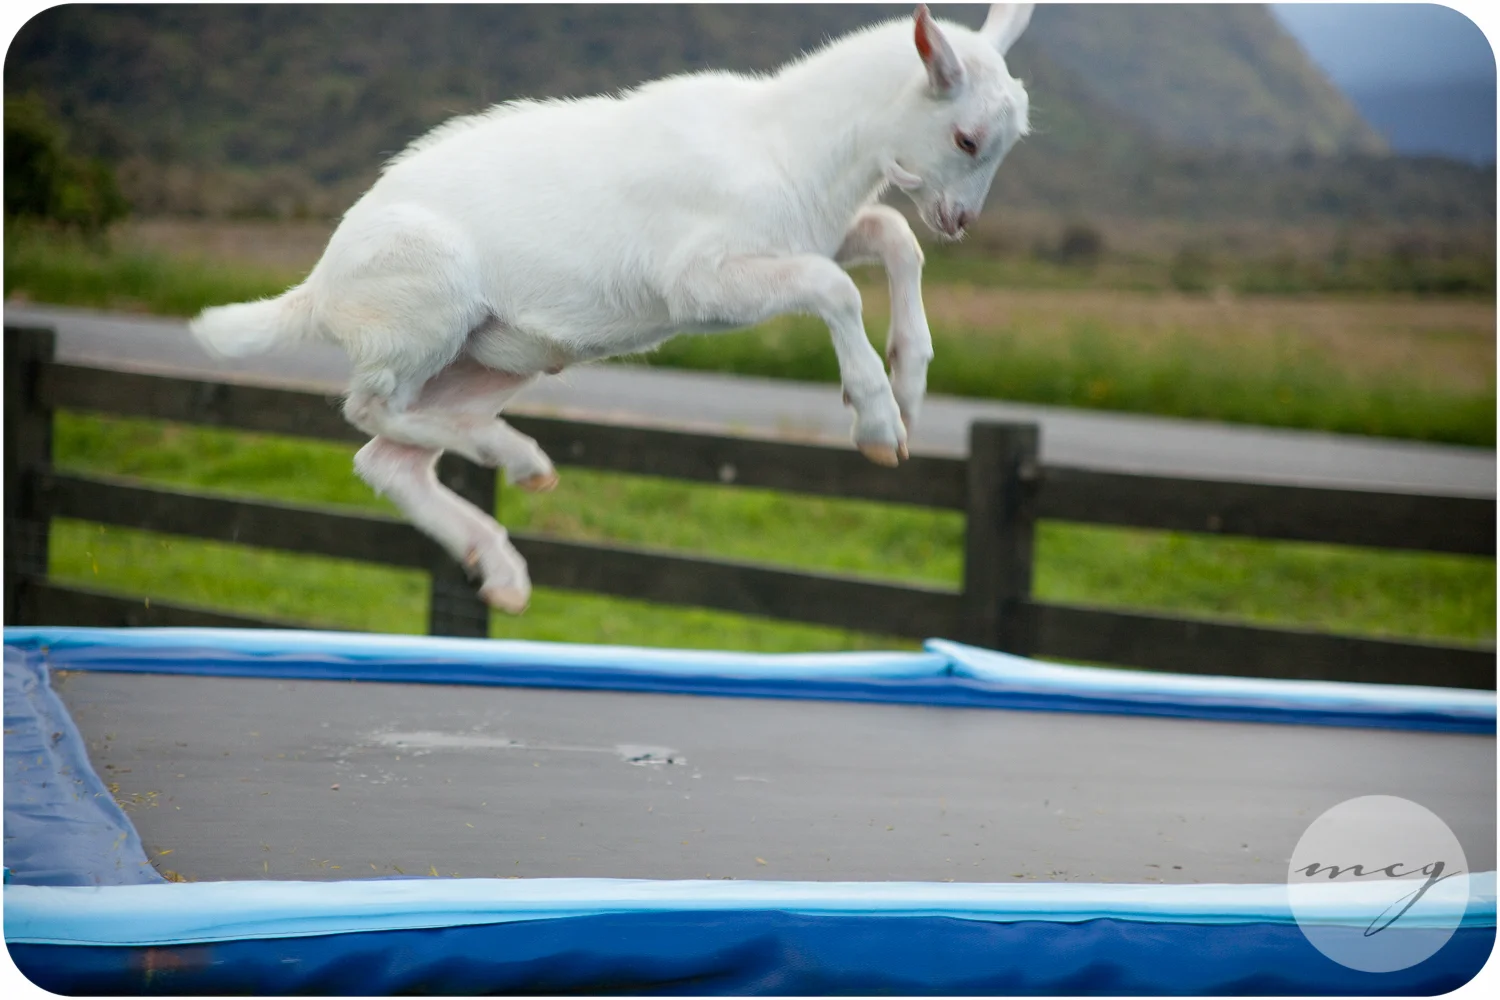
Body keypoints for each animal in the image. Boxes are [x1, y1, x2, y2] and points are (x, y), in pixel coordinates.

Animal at [190, 3, 1034, 615]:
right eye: (966, 138)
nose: (961, 220)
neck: (789, 148)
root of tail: (319, 288)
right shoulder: (702, 282)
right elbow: (836, 288)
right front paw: (878, 421)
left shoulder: (812, 238)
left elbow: (893, 237)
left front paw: (911, 375)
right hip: (423, 307)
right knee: (369, 408)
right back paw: (516, 456)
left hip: (494, 356)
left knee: (386, 453)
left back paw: (502, 561)